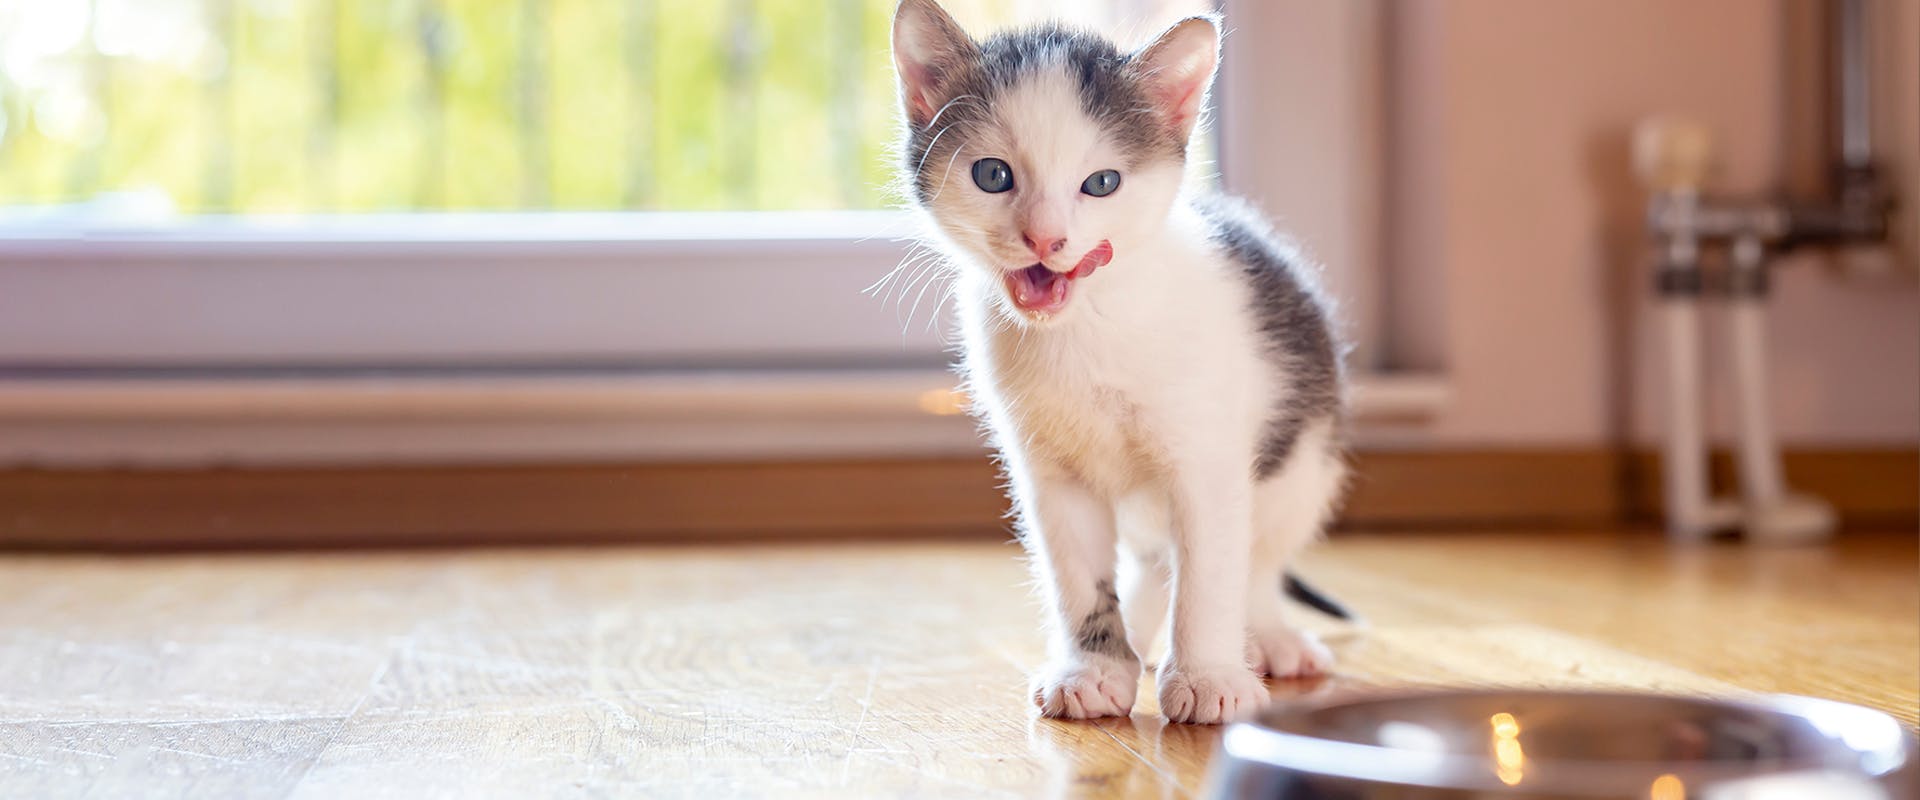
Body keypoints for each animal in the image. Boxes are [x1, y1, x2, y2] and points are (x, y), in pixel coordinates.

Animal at [887, 1, 1351, 721]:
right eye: (993, 175)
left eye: (1101, 183)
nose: (1045, 238)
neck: (1088, 327)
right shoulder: (1048, 469)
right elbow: (1078, 573)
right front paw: (1095, 666)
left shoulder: (1208, 456)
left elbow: (1212, 569)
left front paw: (1209, 677)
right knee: (1156, 559)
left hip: (1303, 463)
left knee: (1256, 557)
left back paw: (1268, 637)